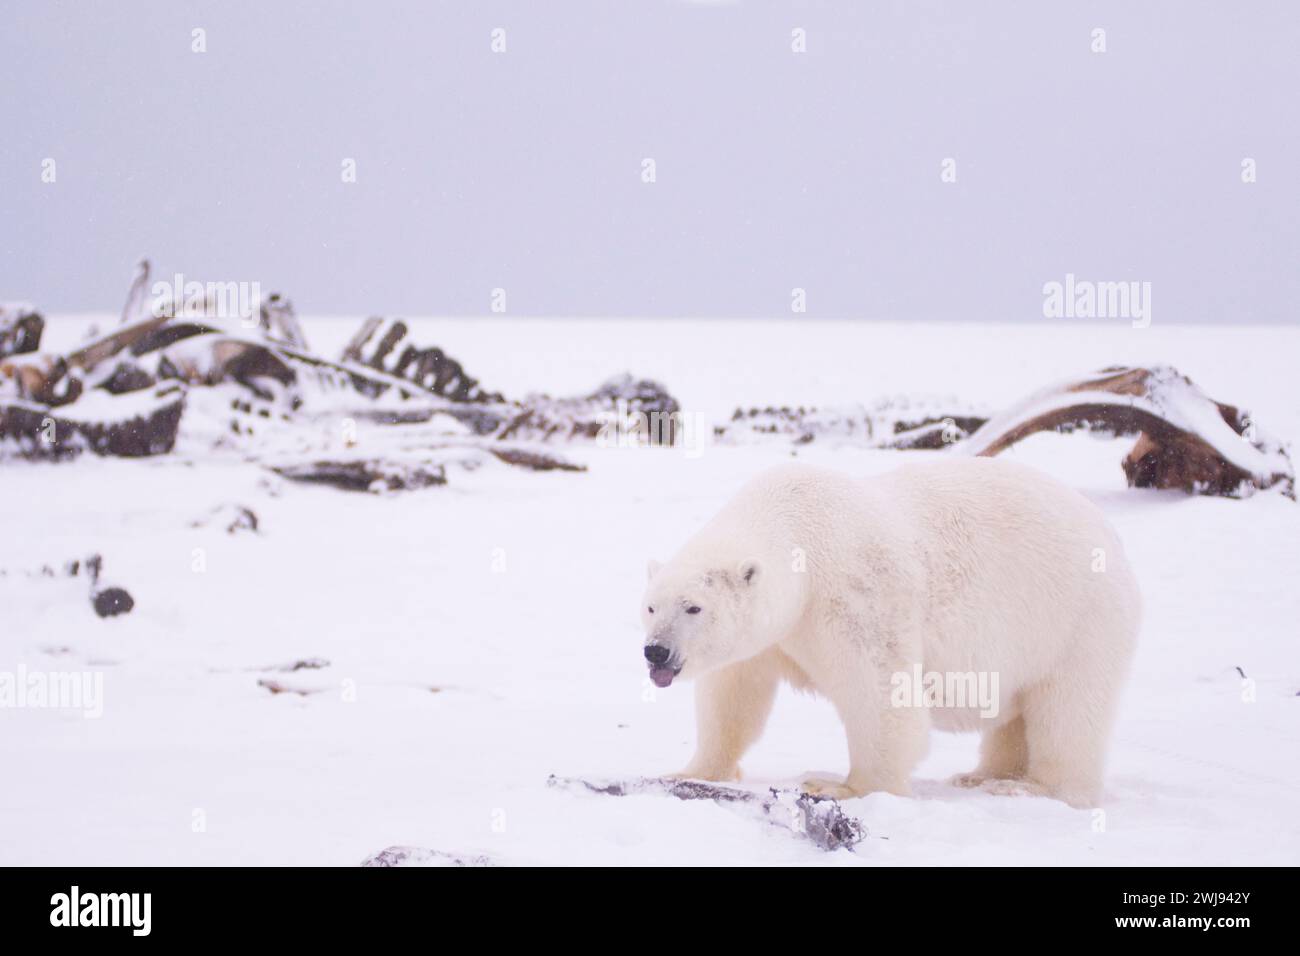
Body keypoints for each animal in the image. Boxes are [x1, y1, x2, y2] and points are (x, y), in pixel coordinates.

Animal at [641, 457, 1140, 808]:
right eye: (650, 606)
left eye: (693, 607)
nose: (655, 652)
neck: (798, 525)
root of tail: (1112, 536)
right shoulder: (772, 633)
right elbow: (733, 694)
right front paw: (688, 771)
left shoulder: (852, 592)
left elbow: (880, 690)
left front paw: (845, 787)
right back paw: (981, 775)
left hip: (1077, 619)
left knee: (1068, 710)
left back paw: (1031, 787)